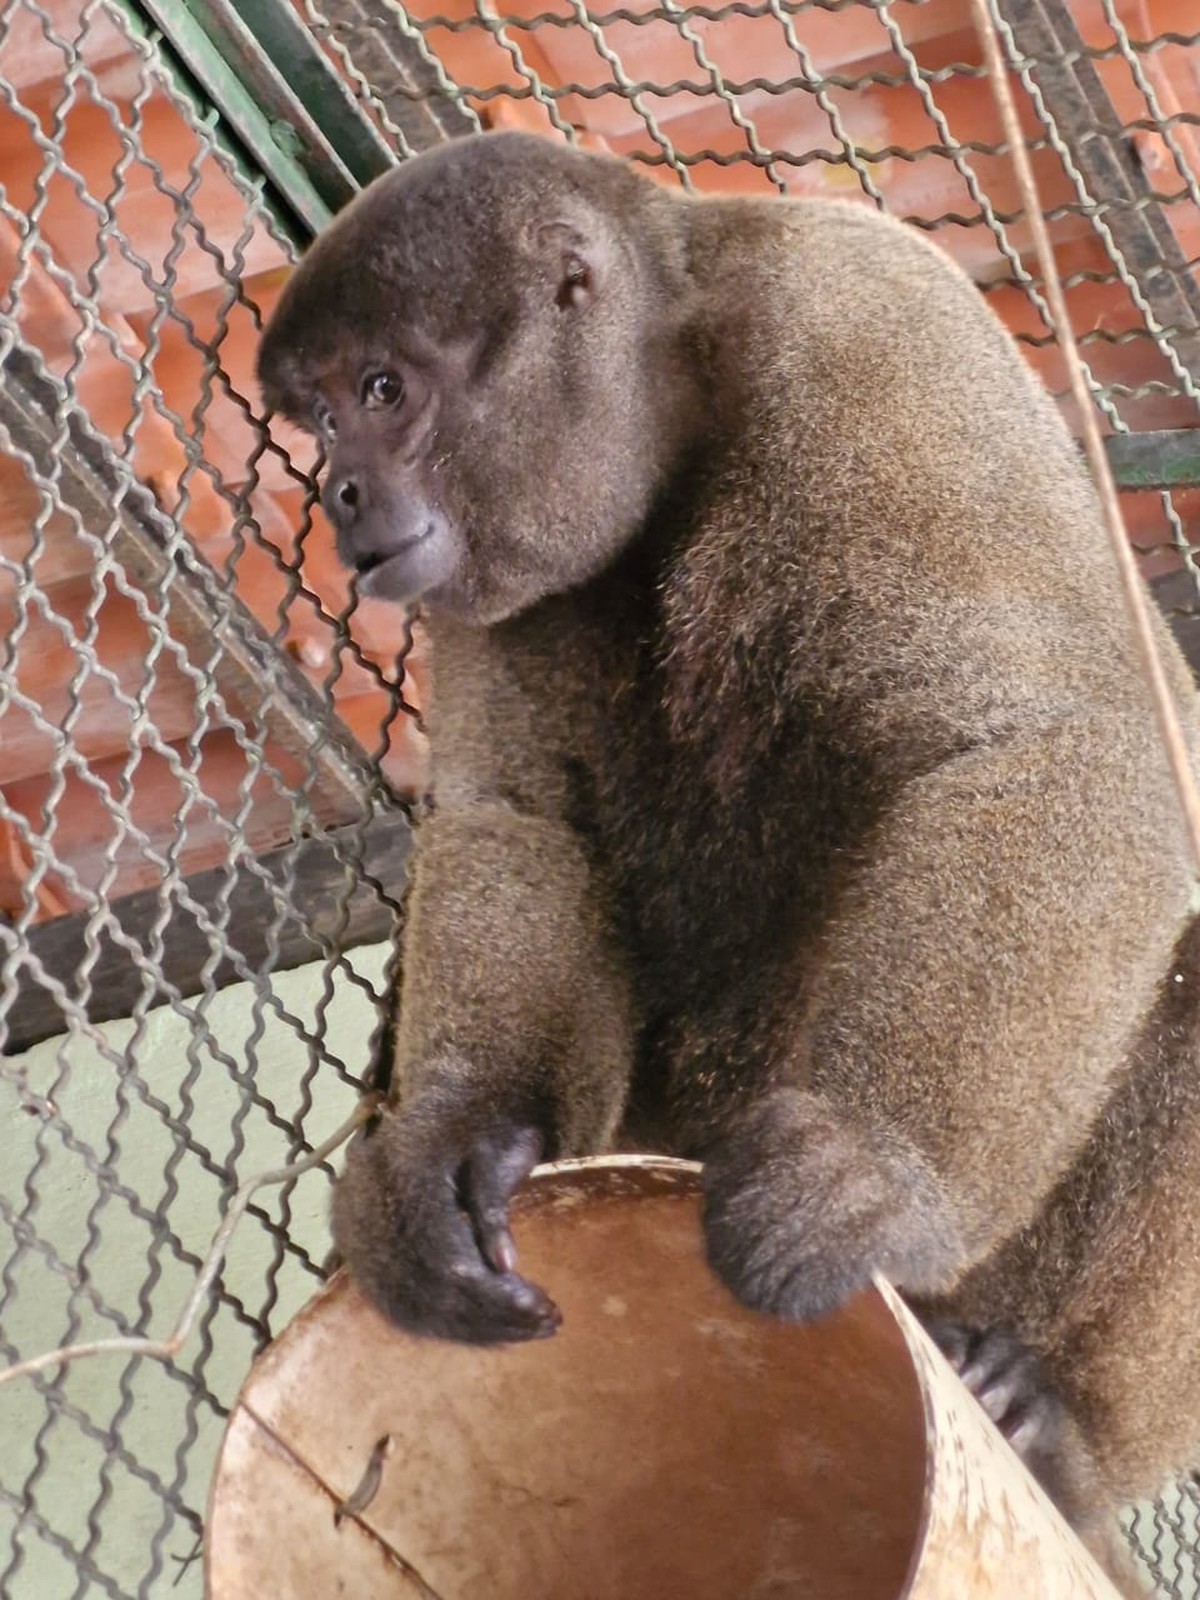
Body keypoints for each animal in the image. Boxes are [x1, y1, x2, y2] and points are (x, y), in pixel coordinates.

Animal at [257, 130, 1200, 1590]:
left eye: (382, 391)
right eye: (317, 421)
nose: (341, 493)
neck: (681, 382)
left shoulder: (863, 319)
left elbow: (1064, 741)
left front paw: (875, 1173)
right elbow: (520, 821)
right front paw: (453, 1147)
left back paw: (1047, 1414)